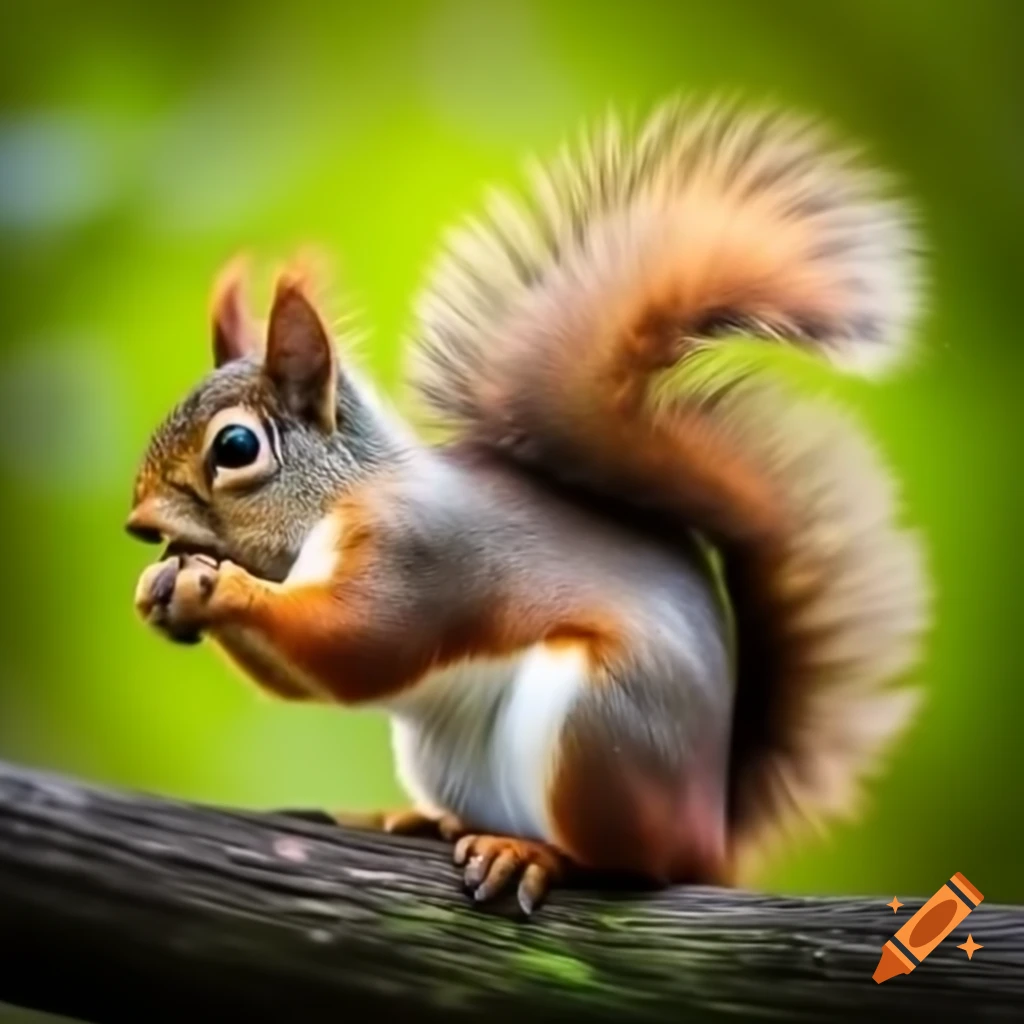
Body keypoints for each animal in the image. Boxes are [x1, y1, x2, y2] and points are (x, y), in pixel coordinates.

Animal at [128, 99, 928, 914]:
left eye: (235, 447)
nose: (139, 526)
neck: (346, 494)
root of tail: (712, 833)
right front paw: (165, 586)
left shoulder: (418, 551)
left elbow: (356, 646)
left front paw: (220, 587)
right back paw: (423, 819)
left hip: (597, 727)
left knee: (631, 865)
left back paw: (534, 853)